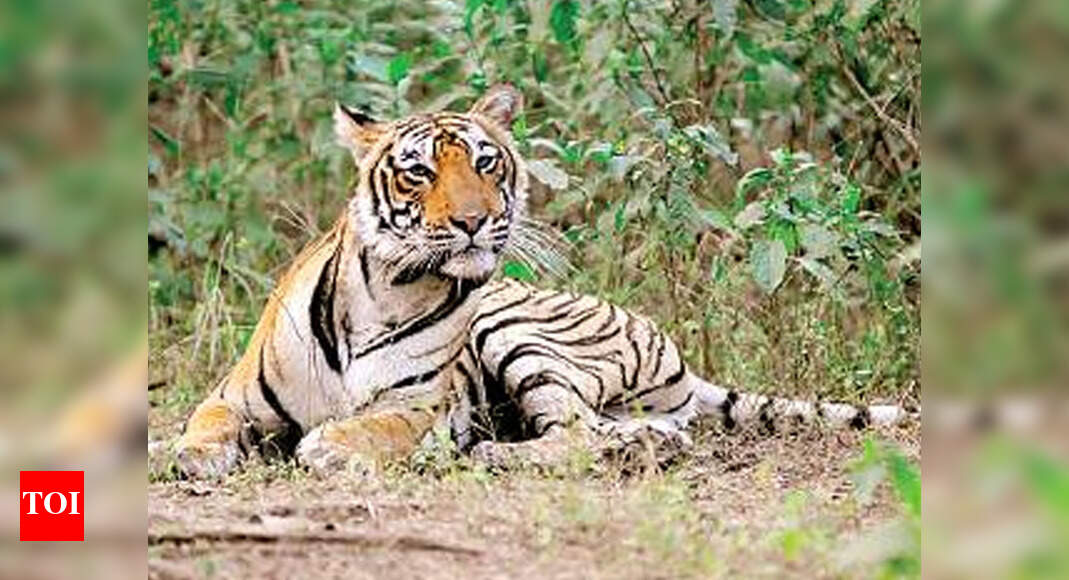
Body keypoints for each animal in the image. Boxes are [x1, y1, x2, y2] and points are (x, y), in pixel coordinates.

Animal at [174, 84, 913, 479]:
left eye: (486, 163)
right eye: (418, 171)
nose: (474, 221)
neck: (386, 289)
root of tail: (676, 352)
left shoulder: (417, 406)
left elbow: (373, 427)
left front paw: (330, 445)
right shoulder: (232, 395)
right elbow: (205, 422)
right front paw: (192, 455)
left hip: (521, 334)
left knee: (578, 433)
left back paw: (491, 454)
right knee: (628, 433)